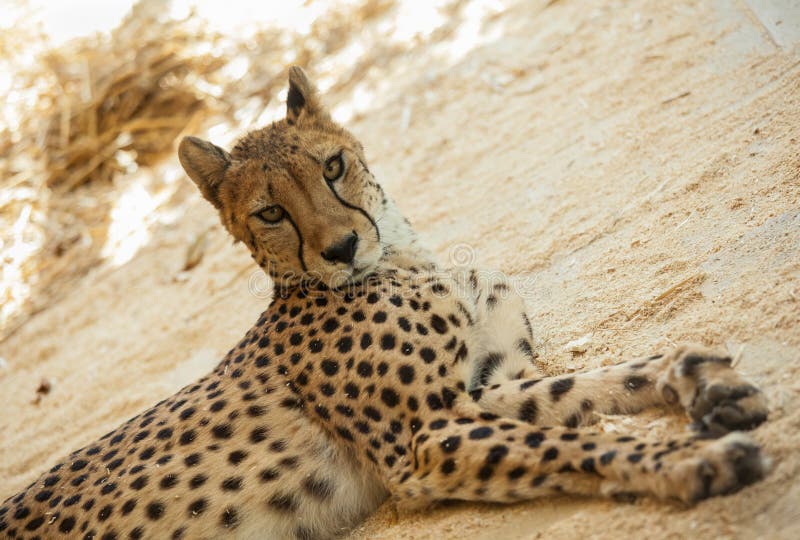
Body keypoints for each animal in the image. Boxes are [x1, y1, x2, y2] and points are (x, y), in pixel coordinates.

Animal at [0, 66, 770, 540]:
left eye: (333, 167)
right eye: (271, 212)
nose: (342, 246)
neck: (406, 258)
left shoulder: (478, 390)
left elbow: (589, 387)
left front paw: (700, 379)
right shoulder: (423, 439)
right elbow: (572, 442)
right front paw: (691, 461)